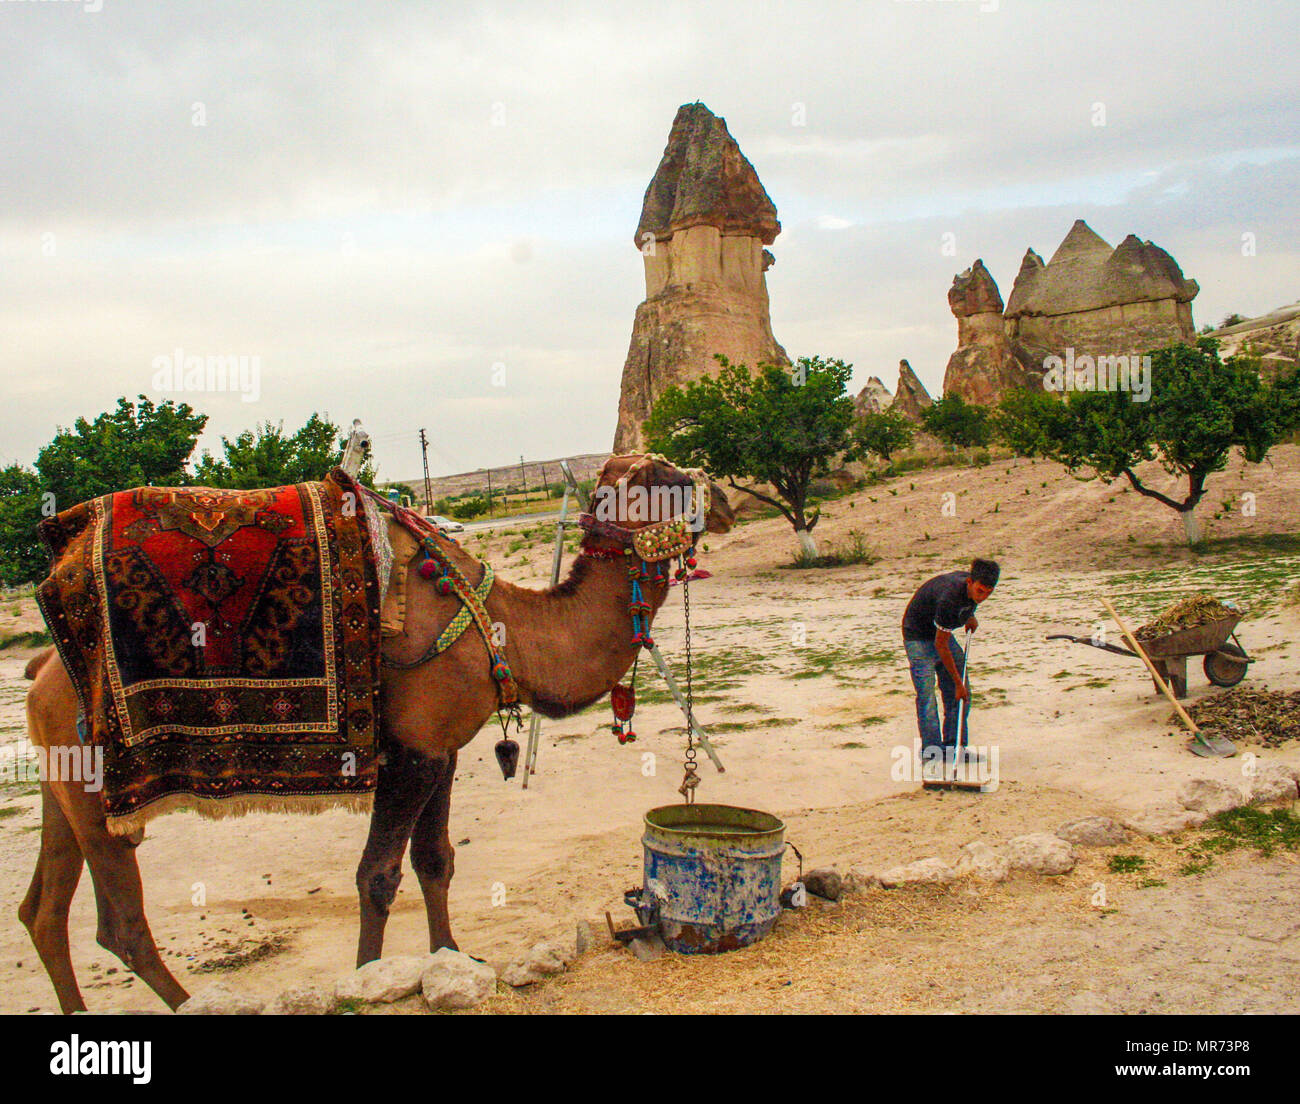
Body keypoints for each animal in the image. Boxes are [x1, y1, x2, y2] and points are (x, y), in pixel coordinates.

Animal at [19, 453, 735, 1013]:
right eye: (667, 476)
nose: (726, 497)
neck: (503, 633)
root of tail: (41, 669)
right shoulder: (410, 753)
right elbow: (378, 876)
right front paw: (364, 982)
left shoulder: (441, 751)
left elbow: (435, 861)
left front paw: (453, 960)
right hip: (102, 791)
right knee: (120, 923)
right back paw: (184, 999)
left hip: (65, 783)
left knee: (43, 911)